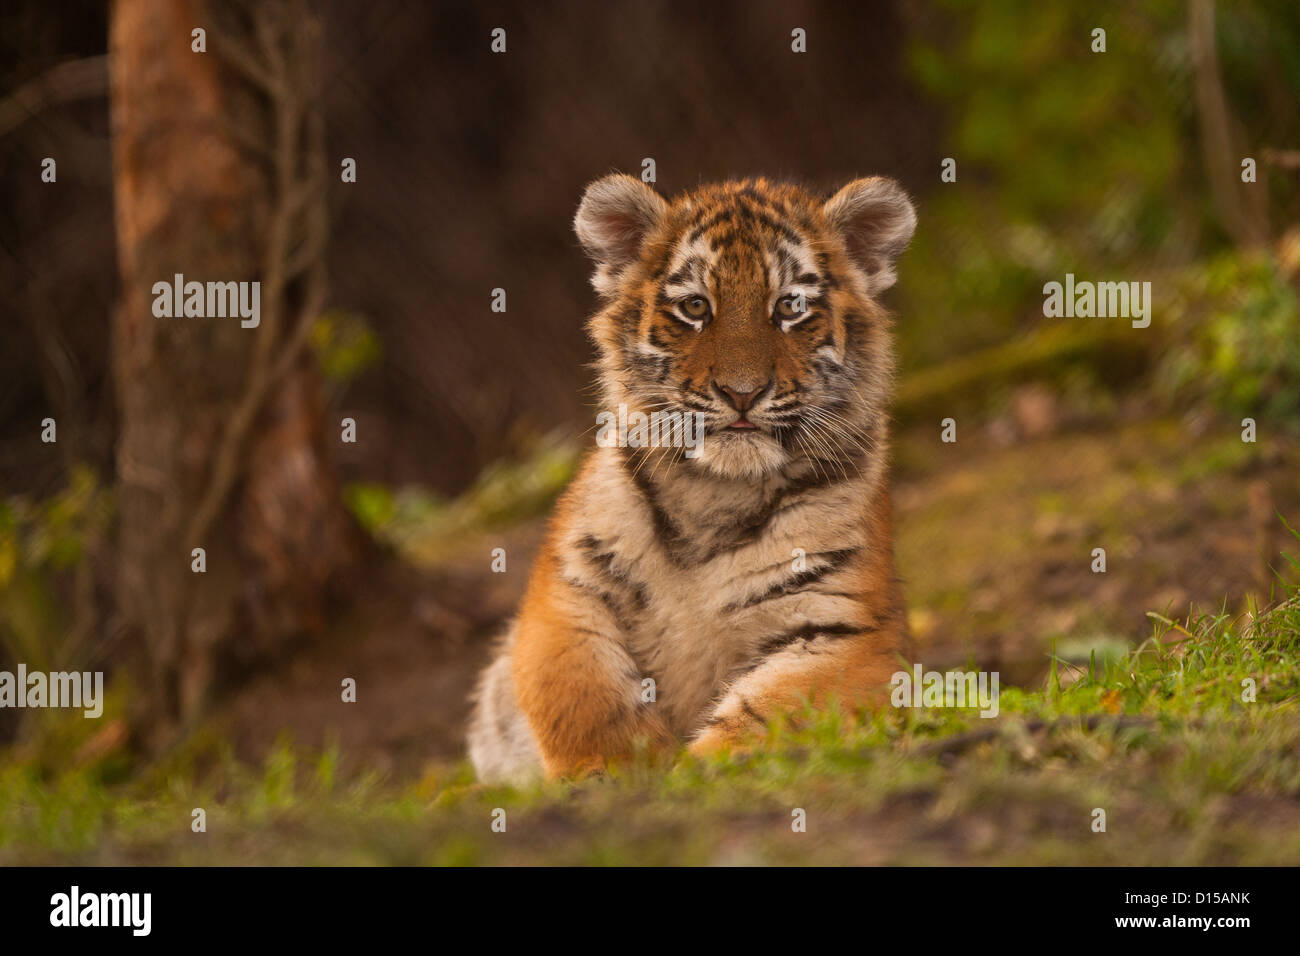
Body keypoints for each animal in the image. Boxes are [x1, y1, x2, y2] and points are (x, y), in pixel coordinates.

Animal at [467, 173, 917, 783]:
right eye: (696, 307)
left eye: (790, 306)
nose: (742, 392)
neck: (714, 493)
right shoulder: (566, 592)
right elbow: (584, 699)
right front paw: (611, 775)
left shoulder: (844, 627)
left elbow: (766, 714)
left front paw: (694, 772)